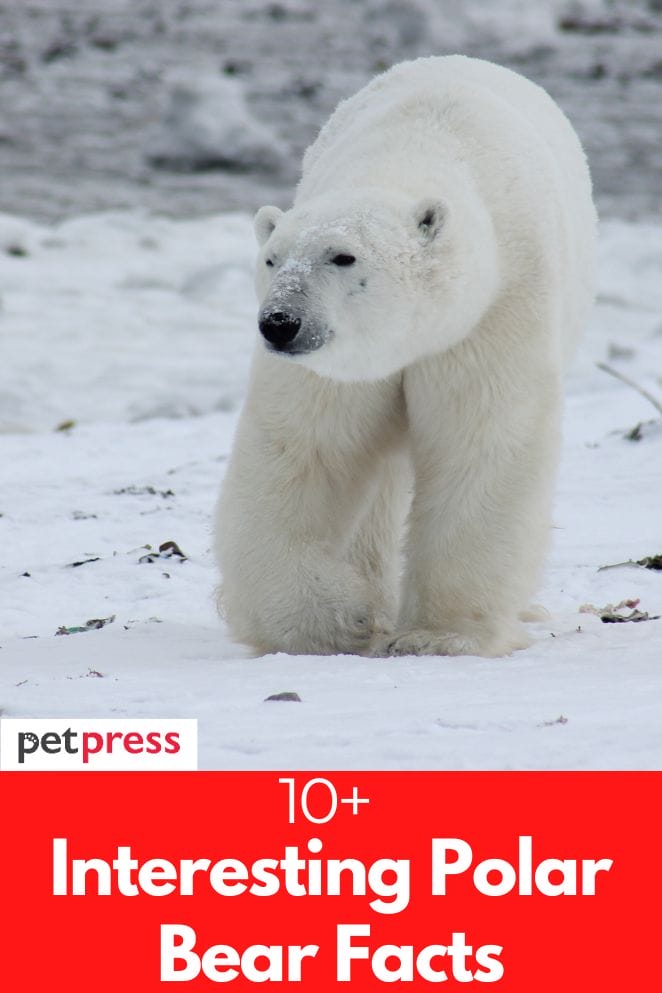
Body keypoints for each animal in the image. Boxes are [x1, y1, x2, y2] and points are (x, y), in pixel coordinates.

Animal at [215, 55, 597, 658]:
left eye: (343, 256)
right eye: (272, 259)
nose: (279, 323)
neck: (414, 150)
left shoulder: (493, 311)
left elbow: (481, 442)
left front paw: (438, 635)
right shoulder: (340, 367)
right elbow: (306, 449)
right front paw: (333, 619)